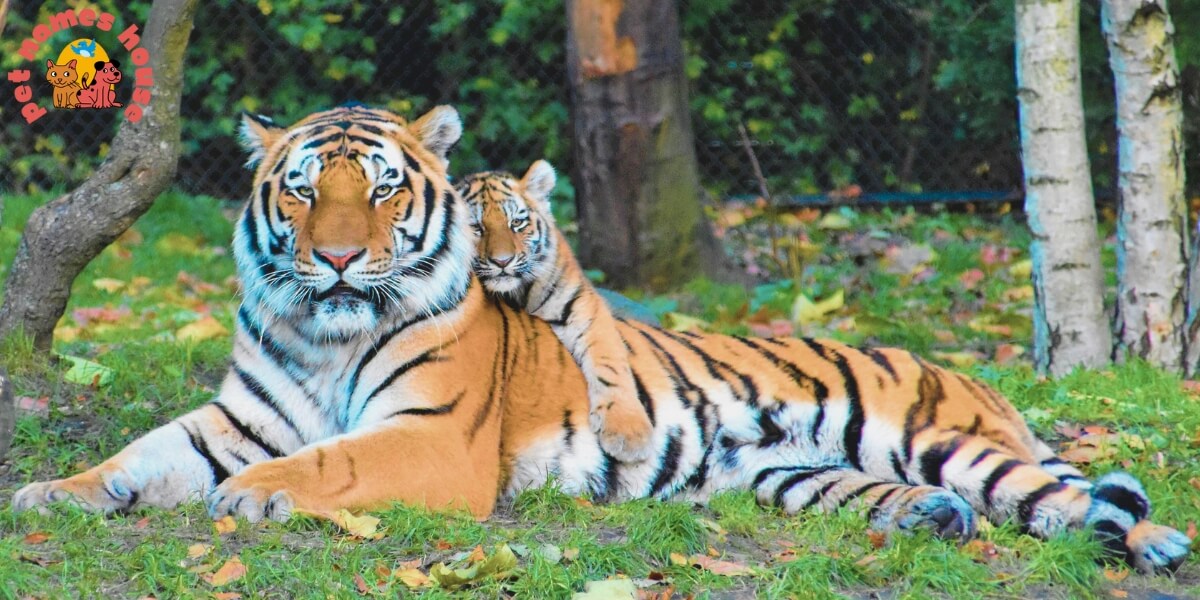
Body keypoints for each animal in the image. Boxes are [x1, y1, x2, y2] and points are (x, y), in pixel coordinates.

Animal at [456, 162, 655, 461]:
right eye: (476, 227)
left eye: (517, 223)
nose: (502, 262)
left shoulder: (582, 306)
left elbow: (609, 361)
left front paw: (628, 434)